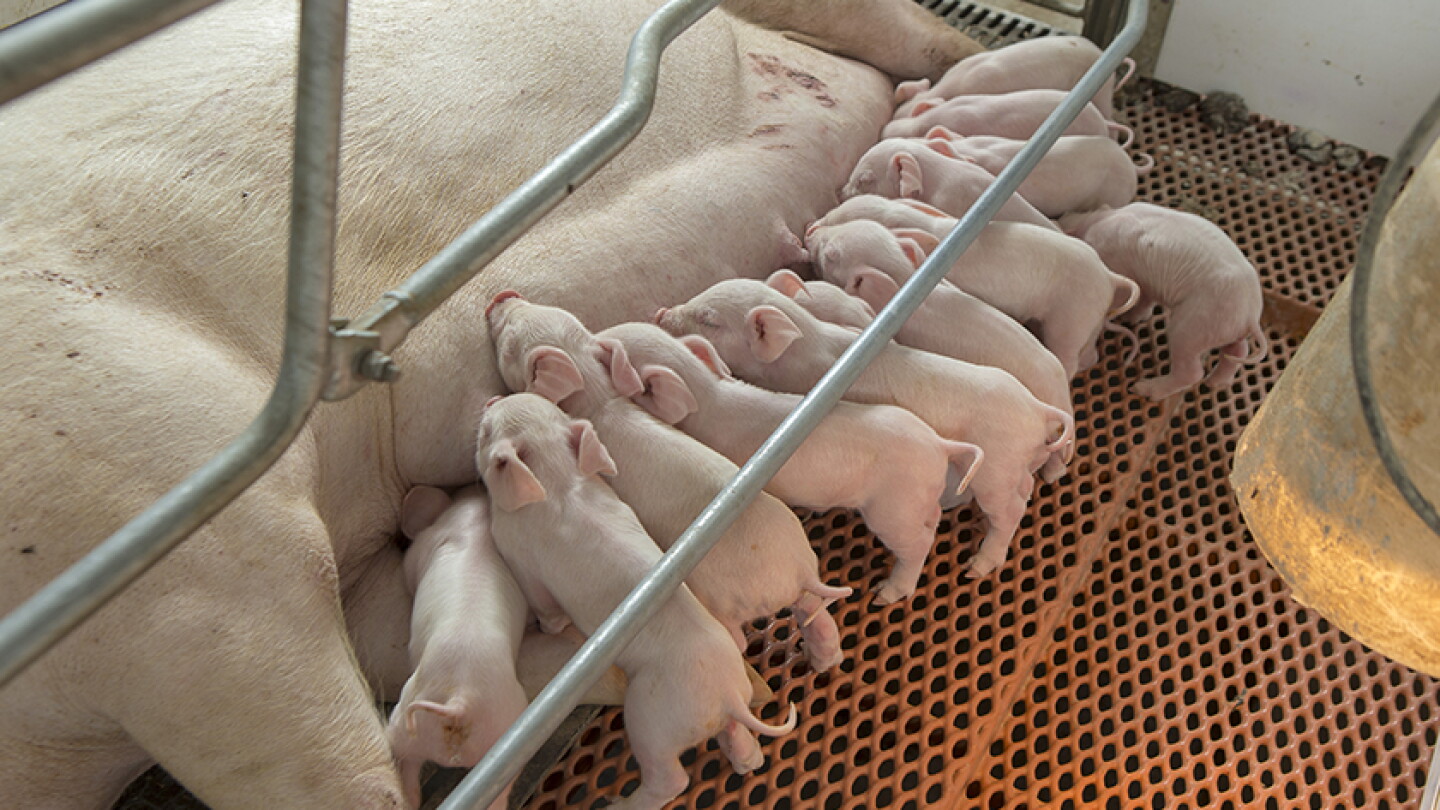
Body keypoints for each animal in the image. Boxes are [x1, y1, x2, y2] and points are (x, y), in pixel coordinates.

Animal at [476, 393, 798, 810]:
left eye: (486, 433)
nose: (491, 399)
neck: (557, 479)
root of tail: (728, 695)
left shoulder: (518, 556)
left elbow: (546, 607)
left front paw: (548, 626)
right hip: (716, 709)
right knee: (741, 745)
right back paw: (745, 760)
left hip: (649, 717)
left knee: (671, 779)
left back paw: (618, 803)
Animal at [486, 293, 852, 671]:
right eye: (570, 318)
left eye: (510, 346)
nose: (503, 296)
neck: (599, 397)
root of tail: (796, 570)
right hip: (802, 584)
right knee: (814, 614)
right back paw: (823, 661)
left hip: (721, 599)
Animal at [596, 321, 984, 603]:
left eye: (610, 358)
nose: (595, 337)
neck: (709, 398)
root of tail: (939, 444)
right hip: (918, 496)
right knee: (932, 517)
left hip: (892, 506)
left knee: (916, 543)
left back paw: (885, 594)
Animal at [805, 210, 1138, 378]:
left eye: (832, 255)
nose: (810, 230)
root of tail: (1109, 276)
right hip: (1087, 317)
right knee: (1090, 354)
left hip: (1068, 319)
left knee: (1068, 357)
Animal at [1059, 203, 1268, 399]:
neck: (1098, 219)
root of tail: (1250, 315)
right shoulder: (1146, 281)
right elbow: (1146, 298)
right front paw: (1132, 319)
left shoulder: (1115, 261)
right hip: (1226, 328)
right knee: (1238, 350)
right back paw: (1215, 383)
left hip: (1194, 326)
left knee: (1191, 371)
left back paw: (1143, 389)